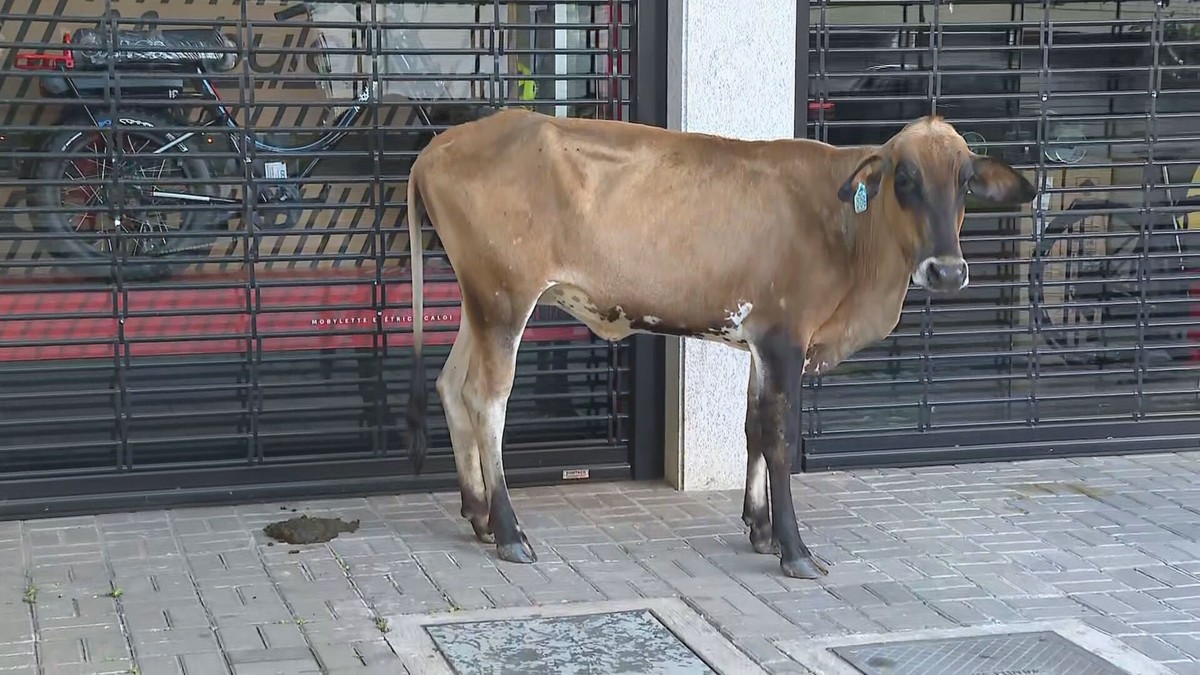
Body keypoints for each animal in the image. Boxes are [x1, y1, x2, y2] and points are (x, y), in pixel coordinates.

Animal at [402, 108, 1036, 579]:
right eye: (905, 179)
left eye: (965, 183)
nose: (947, 271)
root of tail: (439, 147)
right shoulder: (784, 337)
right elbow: (780, 437)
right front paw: (794, 550)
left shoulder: (758, 341)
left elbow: (752, 426)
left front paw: (760, 529)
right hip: (504, 298)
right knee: (487, 400)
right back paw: (509, 530)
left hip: (478, 302)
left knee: (451, 385)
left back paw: (479, 514)